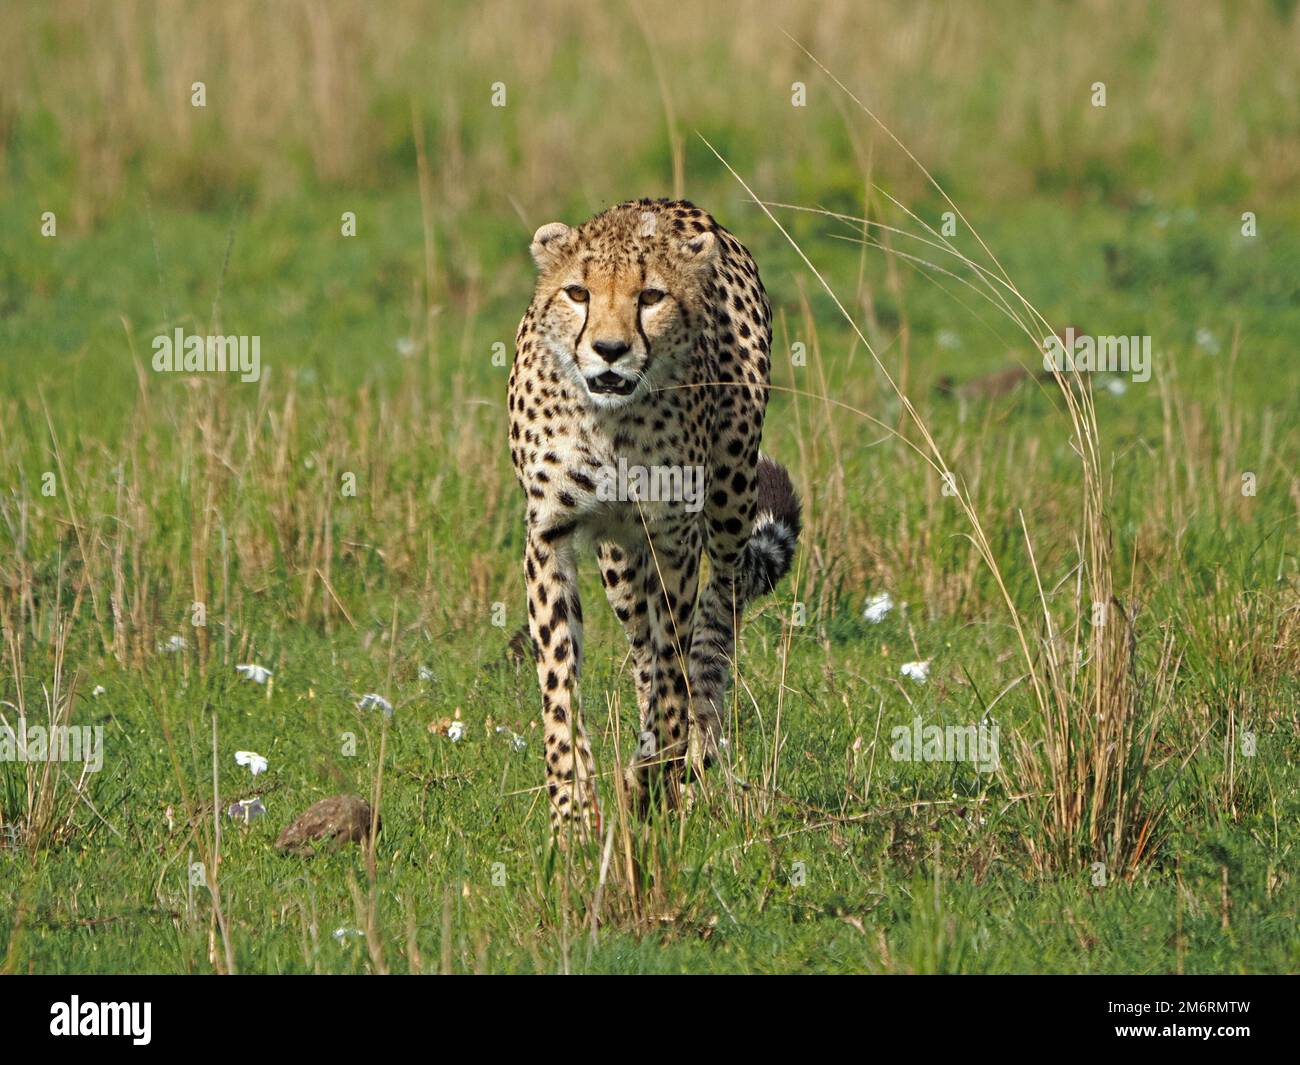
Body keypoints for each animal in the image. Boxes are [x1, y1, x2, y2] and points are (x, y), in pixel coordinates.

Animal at [508, 198, 801, 839]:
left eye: (651, 297)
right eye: (578, 292)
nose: (610, 349)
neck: (608, 421)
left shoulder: (675, 537)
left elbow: (673, 674)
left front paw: (651, 776)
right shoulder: (549, 534)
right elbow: (560, 683)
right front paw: (572, 816)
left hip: (731, 492)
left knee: (719, 611)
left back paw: (693, 748)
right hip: (620, 557)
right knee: (642, 647)